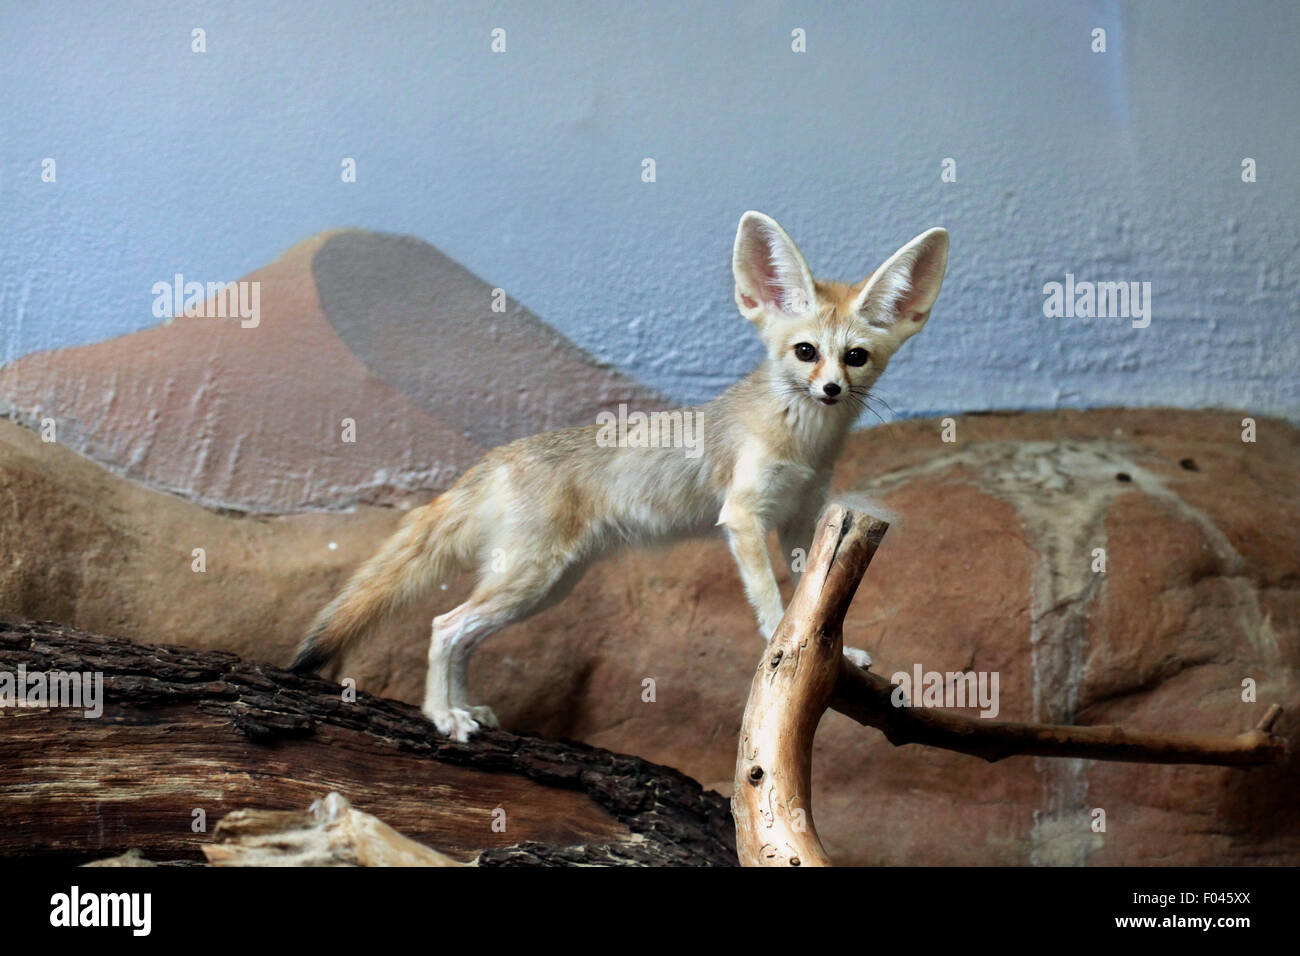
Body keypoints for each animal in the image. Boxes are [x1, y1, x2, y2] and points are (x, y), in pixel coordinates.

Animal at [290, 211, 949, 741]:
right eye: (806, 352)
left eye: (856, 357)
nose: (832, 389)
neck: (806, 441)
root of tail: (501, 456)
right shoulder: (743, 517)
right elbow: (771, 602)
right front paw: (778, 648)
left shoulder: (801, 518)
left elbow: (812, 600)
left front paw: (840, 654)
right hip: (530, 581)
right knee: (443, 625)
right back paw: (442, 714)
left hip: (545, 588)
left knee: (459, 633)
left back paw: (463, 707)